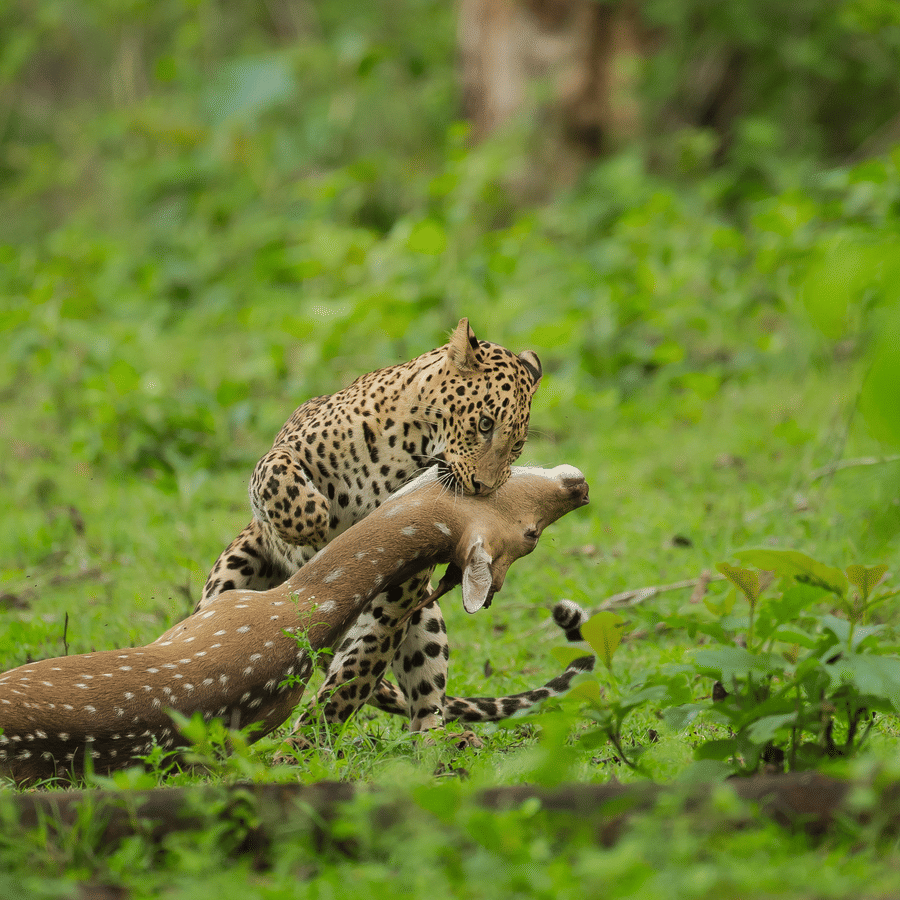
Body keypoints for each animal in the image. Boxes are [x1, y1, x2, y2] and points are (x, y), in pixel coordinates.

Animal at [199, 318, 558, 742]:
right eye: (485, 423)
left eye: (517, 445)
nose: (483, 488)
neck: (410, 450)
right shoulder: (292, 440)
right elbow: (273, 470)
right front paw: (308, 521)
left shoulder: (395, 599)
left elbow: (352, 678)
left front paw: (306, 743)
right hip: (230, 576)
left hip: (426, 620)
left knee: (424, 702)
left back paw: (443, 740)